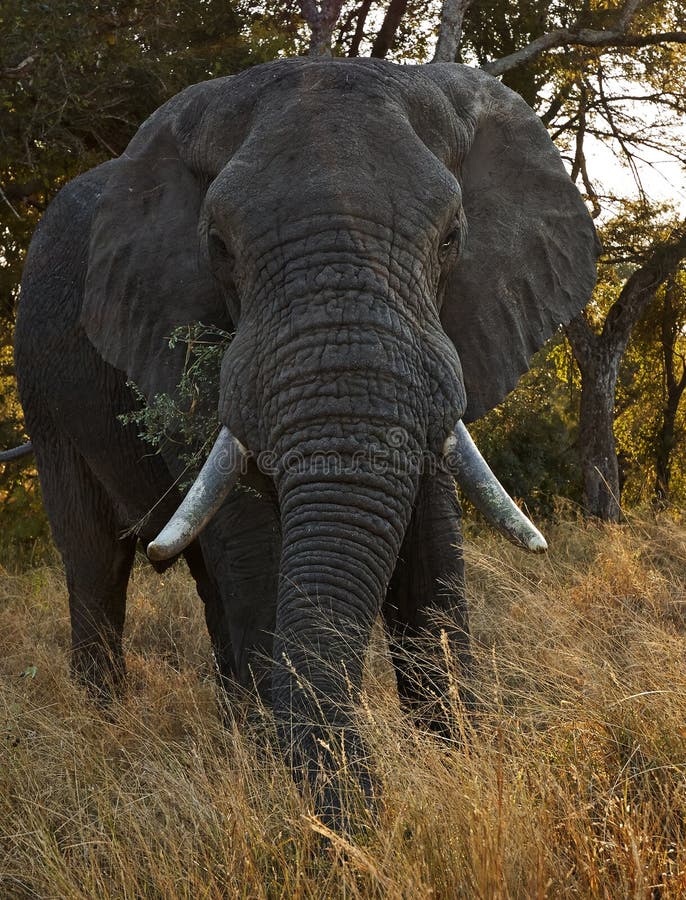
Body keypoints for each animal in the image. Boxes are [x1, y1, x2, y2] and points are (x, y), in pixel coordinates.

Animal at [13, 57, 599, 827]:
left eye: (451, 238)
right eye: (217, 248)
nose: (376, 817)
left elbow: (431, 551)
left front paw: (461, 762)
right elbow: (259, 547)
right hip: (42, 389)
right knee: (96, 559)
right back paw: (104, 729)